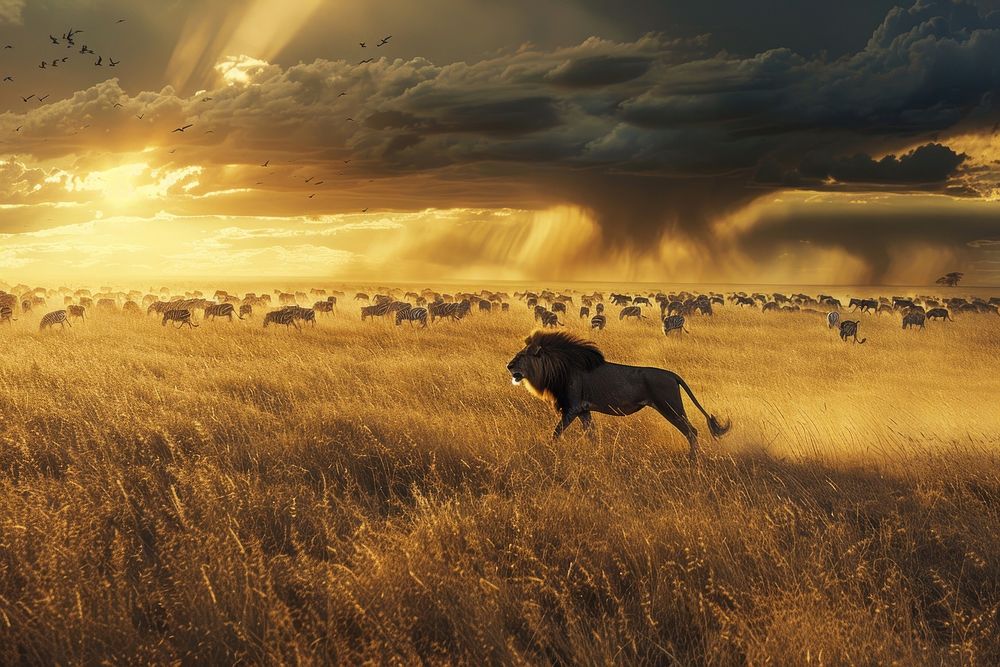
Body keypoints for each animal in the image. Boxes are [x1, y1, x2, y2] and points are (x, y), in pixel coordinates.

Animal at [507, 330, 730, 460]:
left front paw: (548, 450)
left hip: (670, 406)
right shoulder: (583, 410)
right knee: (691, 431)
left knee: (691, 431)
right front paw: (596, 454)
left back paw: (693, 459)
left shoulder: (572, 408)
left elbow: (556, 433)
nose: (508, 366)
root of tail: (672, 375)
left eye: (521, 356)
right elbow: (592, 436)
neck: (556, 369)